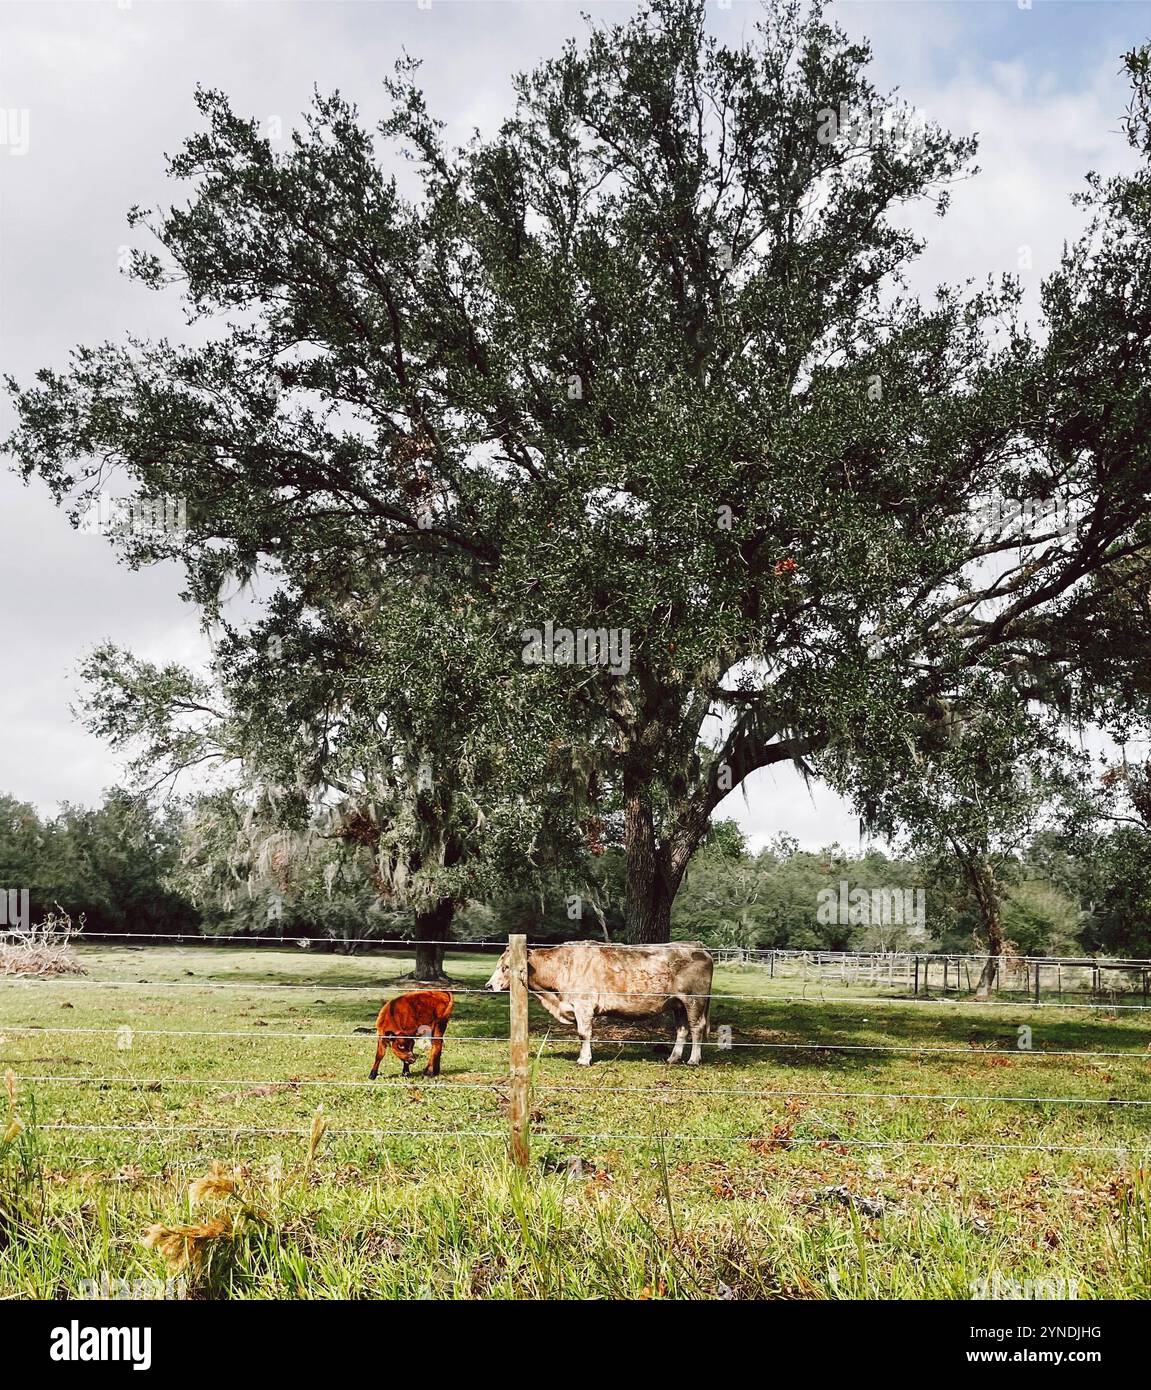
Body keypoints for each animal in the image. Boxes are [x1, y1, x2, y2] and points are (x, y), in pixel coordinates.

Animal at [485, 941, 713, 1066]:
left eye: (505, 967)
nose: (488, 986)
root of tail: (699, 947)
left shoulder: (584, 1006)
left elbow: (584, 1033)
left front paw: (584, 1059)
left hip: (694, 1000)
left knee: (696, 1027)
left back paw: (693, 1059)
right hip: (678, 1003)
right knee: (682, 1030)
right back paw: (673, 1058)